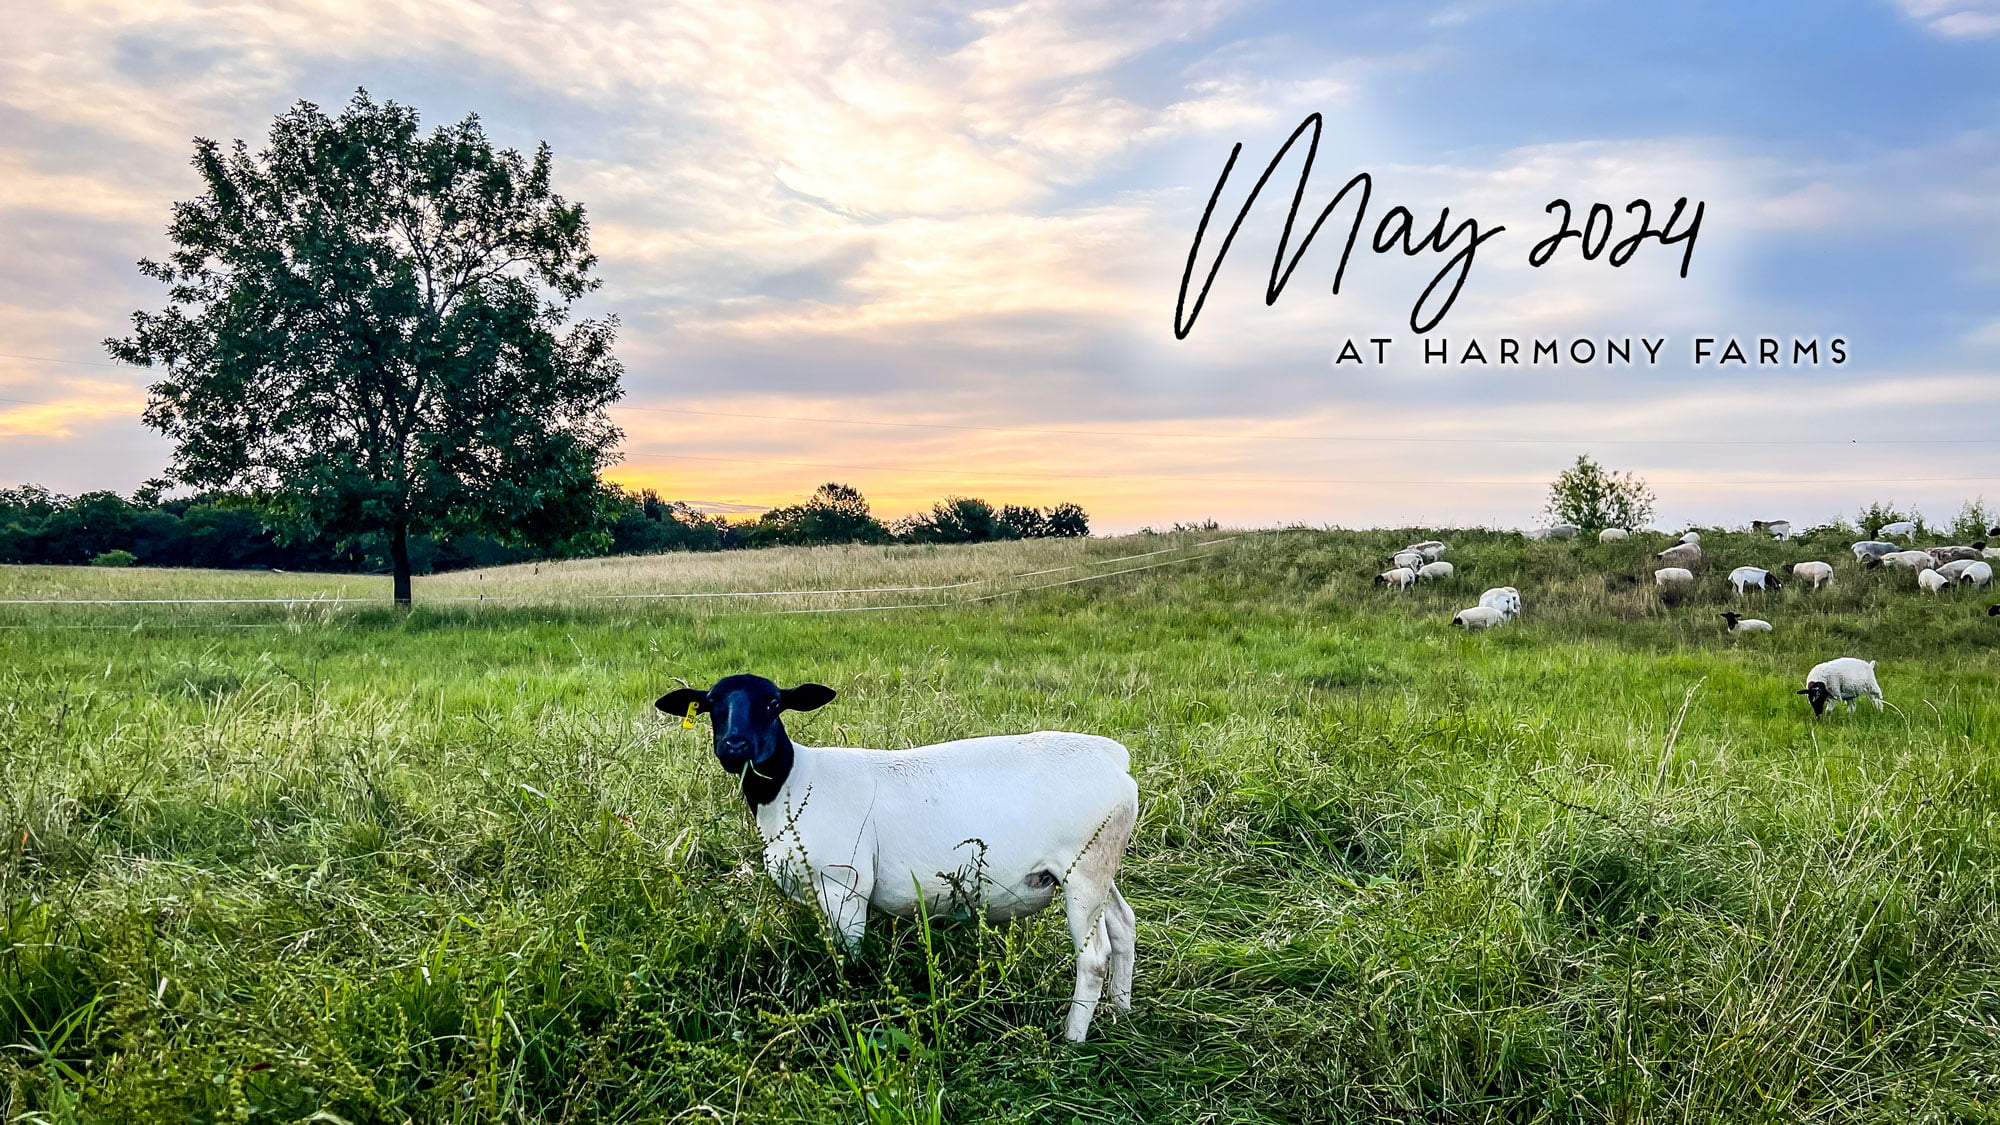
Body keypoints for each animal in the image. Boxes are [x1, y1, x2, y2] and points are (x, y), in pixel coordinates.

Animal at [657, 674, 1138, 1042]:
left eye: (774, 703)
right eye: (711, 704)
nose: (734, 746)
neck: (790, 786)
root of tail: (1115, 758)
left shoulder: (845, 887)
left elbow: (849, 959)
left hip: (1083, 872)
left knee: (1094, 957)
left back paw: (1072, 1038)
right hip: (1100, 866)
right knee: (1124, 925)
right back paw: (1121, 1011)